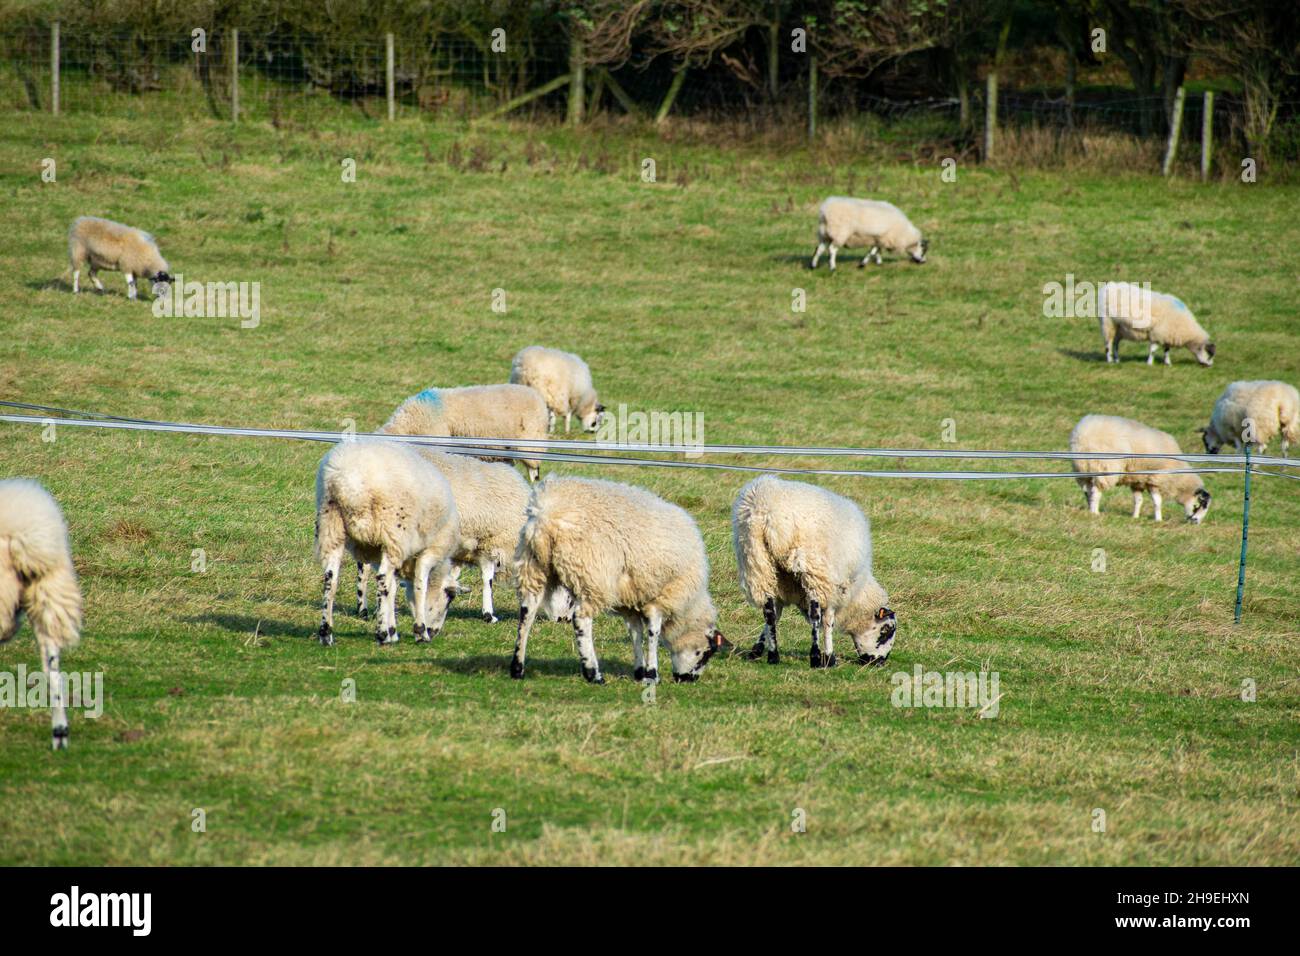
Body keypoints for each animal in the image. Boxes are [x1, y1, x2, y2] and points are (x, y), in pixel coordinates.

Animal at [314, 440, 460, 647]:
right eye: (449, 598)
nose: (435, 632)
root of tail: (349, 481)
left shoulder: (380, 551)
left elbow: (393, 589)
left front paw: (393, 631)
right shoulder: (428, 552)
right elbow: (418, 587)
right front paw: (419, 631)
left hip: (331, 525)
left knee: (330, 579)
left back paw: (326, 633)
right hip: (393, 532)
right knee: (382, 578)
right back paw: (381, 634)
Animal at [356, 449, 531, 624]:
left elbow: (454, 574)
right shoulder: (490, 542)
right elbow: (487, 578)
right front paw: (488, 614)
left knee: (364, 566)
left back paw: (363, 609)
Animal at [511, 477, 728, 684]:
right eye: (703, 654)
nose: (688, 680)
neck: (688, 605)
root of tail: (545, 514)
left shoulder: (630, 601)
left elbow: (635, 633)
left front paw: (640, 672)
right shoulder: (659, 598)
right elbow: (653, 633)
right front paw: (652, 673)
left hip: (533, 567)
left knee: (527, 613)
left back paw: (518, 668)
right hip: (591, 575)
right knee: (581, 619)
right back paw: (593, 674)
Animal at [732, 475, 896, 669]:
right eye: (886, 631)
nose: (879, 663)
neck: (857, 593)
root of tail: (764, 508)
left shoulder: (784, 586)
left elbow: (776, 614)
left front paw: (757, 650)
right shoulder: (835, 586)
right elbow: (827, 620)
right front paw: (829, 657)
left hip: (756, 560)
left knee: (768, 611)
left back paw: (774, 656)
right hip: (813, 568)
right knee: (815, 613)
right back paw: (815, 656)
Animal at [1070, 415, 1211, 523]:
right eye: (1199, 505)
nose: (1196, 522)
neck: (1178, 476)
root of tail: (1083, 433)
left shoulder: (1138, 480)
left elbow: (1138, 500)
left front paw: (1135, 517)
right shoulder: (1156, 479)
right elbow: (1157, 502)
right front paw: (1158, 519)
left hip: (1083, 469)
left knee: (1087, 491)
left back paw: (1089, 508)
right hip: (1104, 468)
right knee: (1096, 492)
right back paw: (1095, 512)